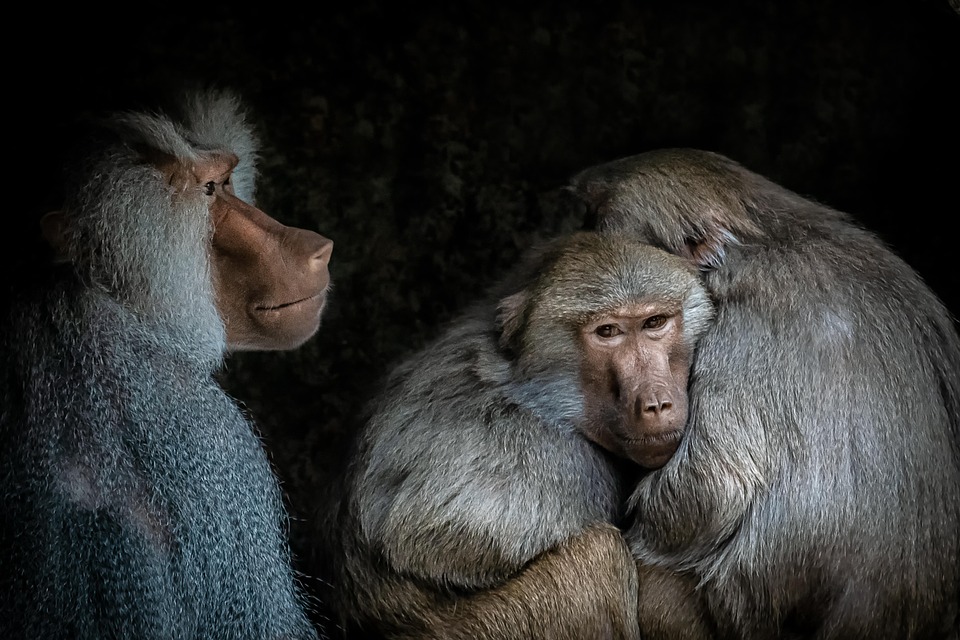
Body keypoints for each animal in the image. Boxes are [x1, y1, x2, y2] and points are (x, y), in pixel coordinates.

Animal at [332, 231, 714, 639]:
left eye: (654, 322)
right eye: (608, 332)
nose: (656, 404)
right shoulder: (543, 456)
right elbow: (427, 541)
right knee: (598, 557)